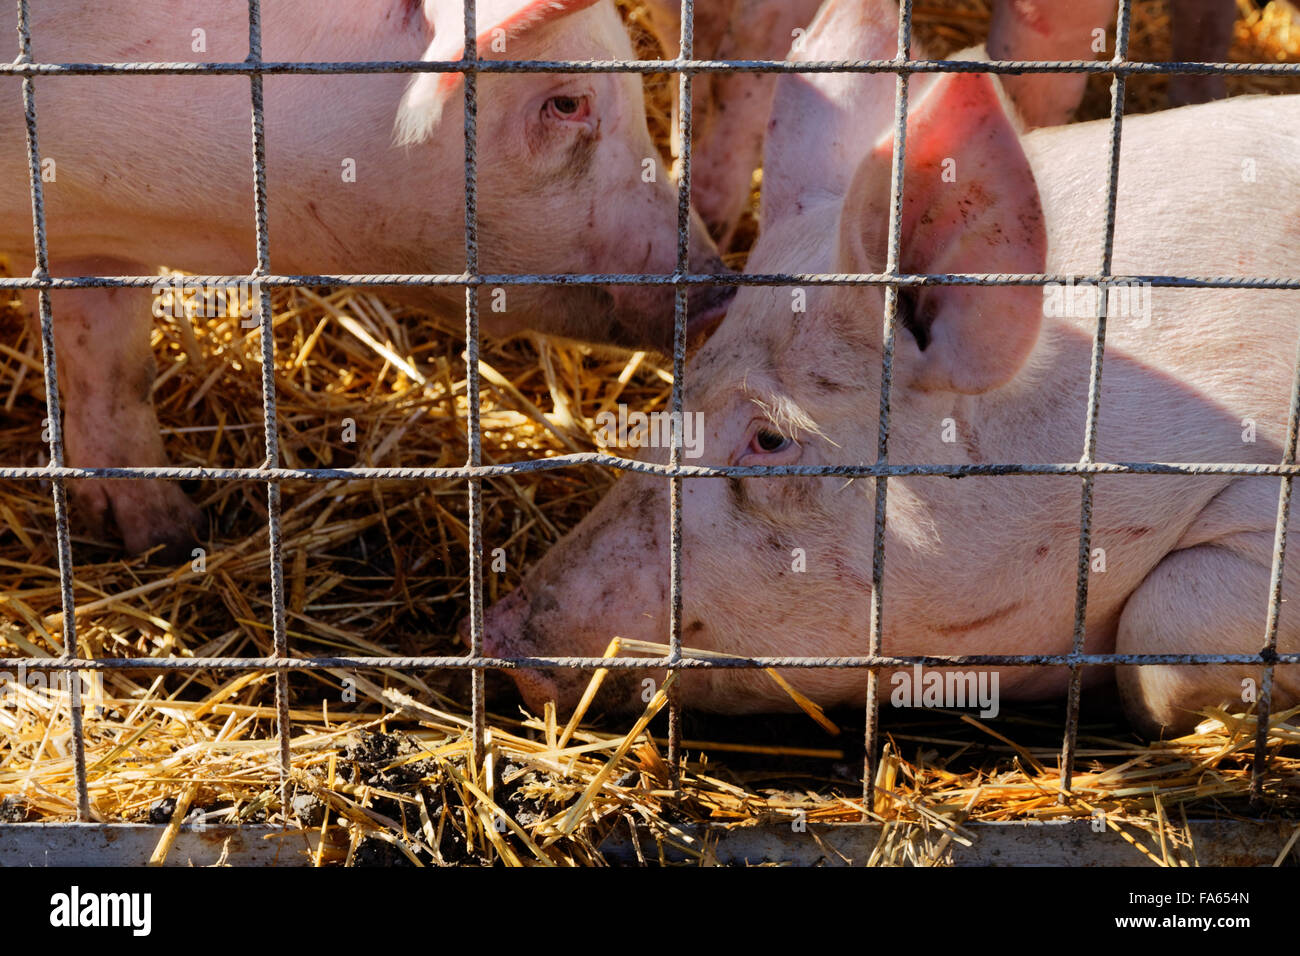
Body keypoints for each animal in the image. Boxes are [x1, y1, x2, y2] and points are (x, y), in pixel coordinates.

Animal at [0, 0, 730, 557]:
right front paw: (172, 541)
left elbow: (114, 366)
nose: (722, 293)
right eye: (569, 101)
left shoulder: (88, 245)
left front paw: (167, 536)